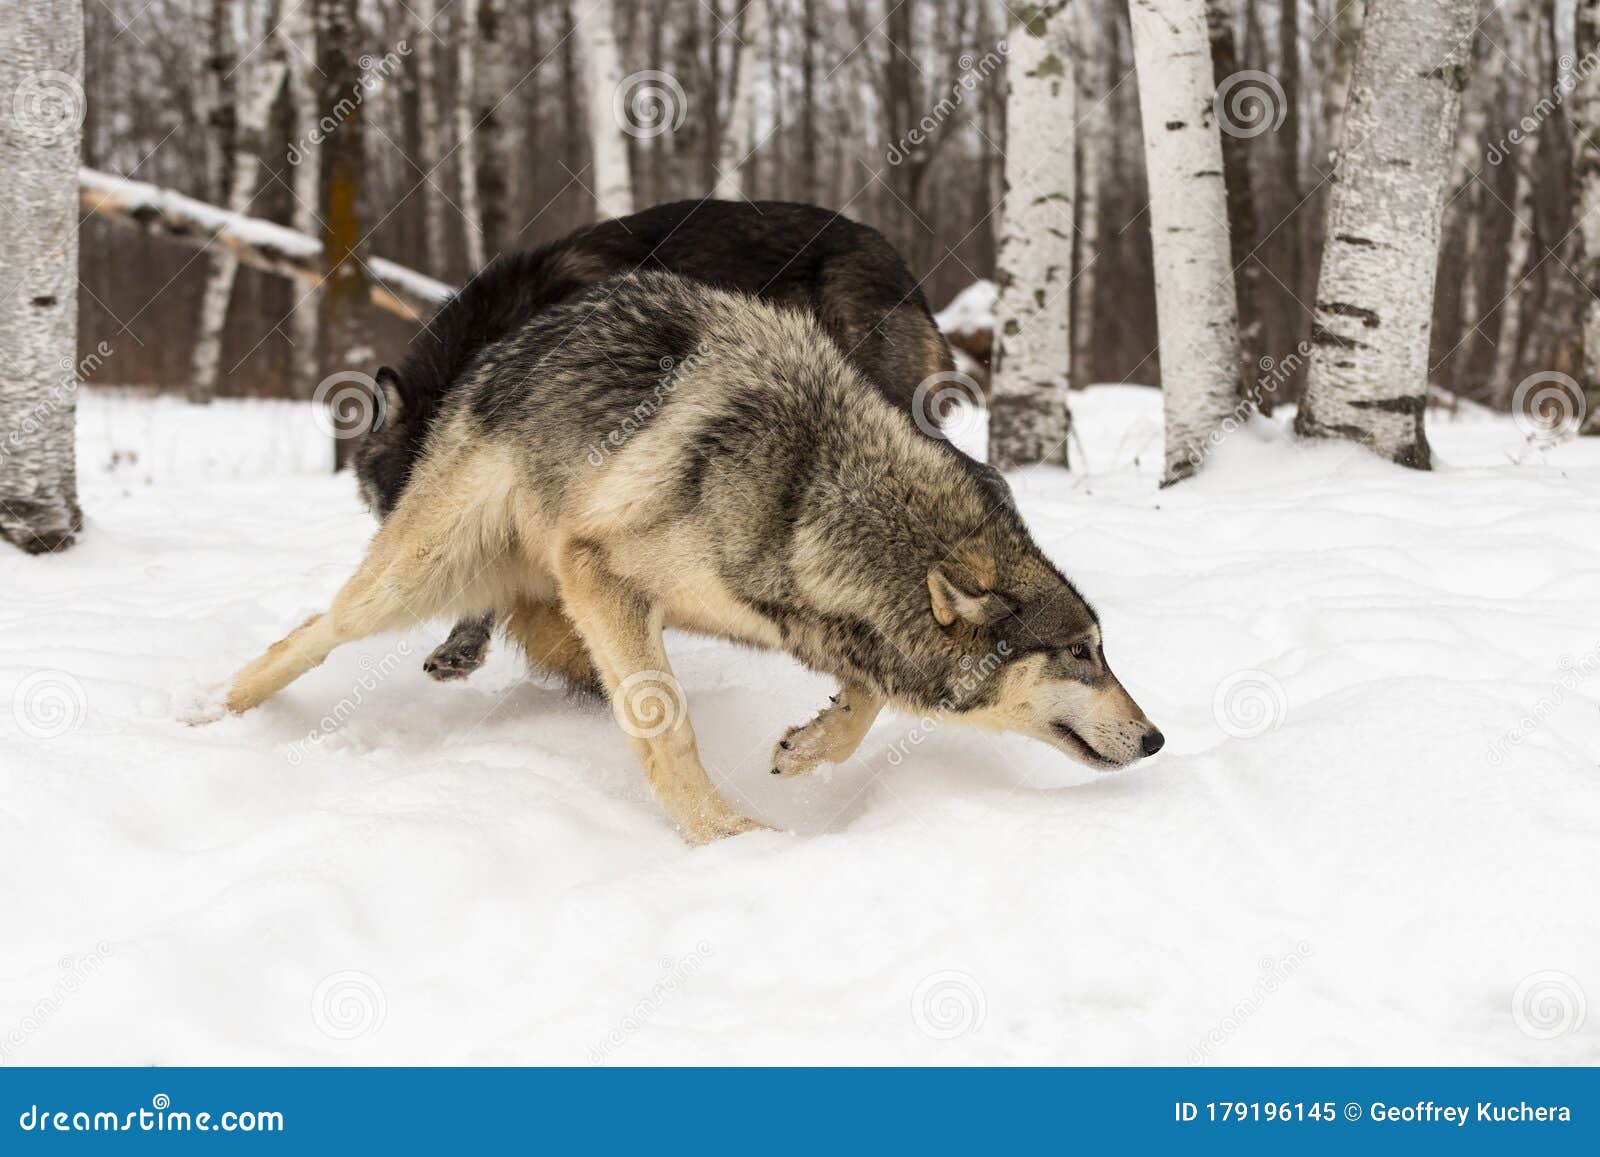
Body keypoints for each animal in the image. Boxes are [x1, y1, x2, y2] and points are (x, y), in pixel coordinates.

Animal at [227, 273, 1163, 843]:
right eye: (1081, 653)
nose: (1156, 739)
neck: (810, 496)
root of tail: (515, 339)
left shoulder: (798, 623)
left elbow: (861, 700)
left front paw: (805, 748)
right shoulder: (600, 575)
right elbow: (665, 724)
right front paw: (729, 839)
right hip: (420, 575)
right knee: (312, 629)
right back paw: (217, 710)